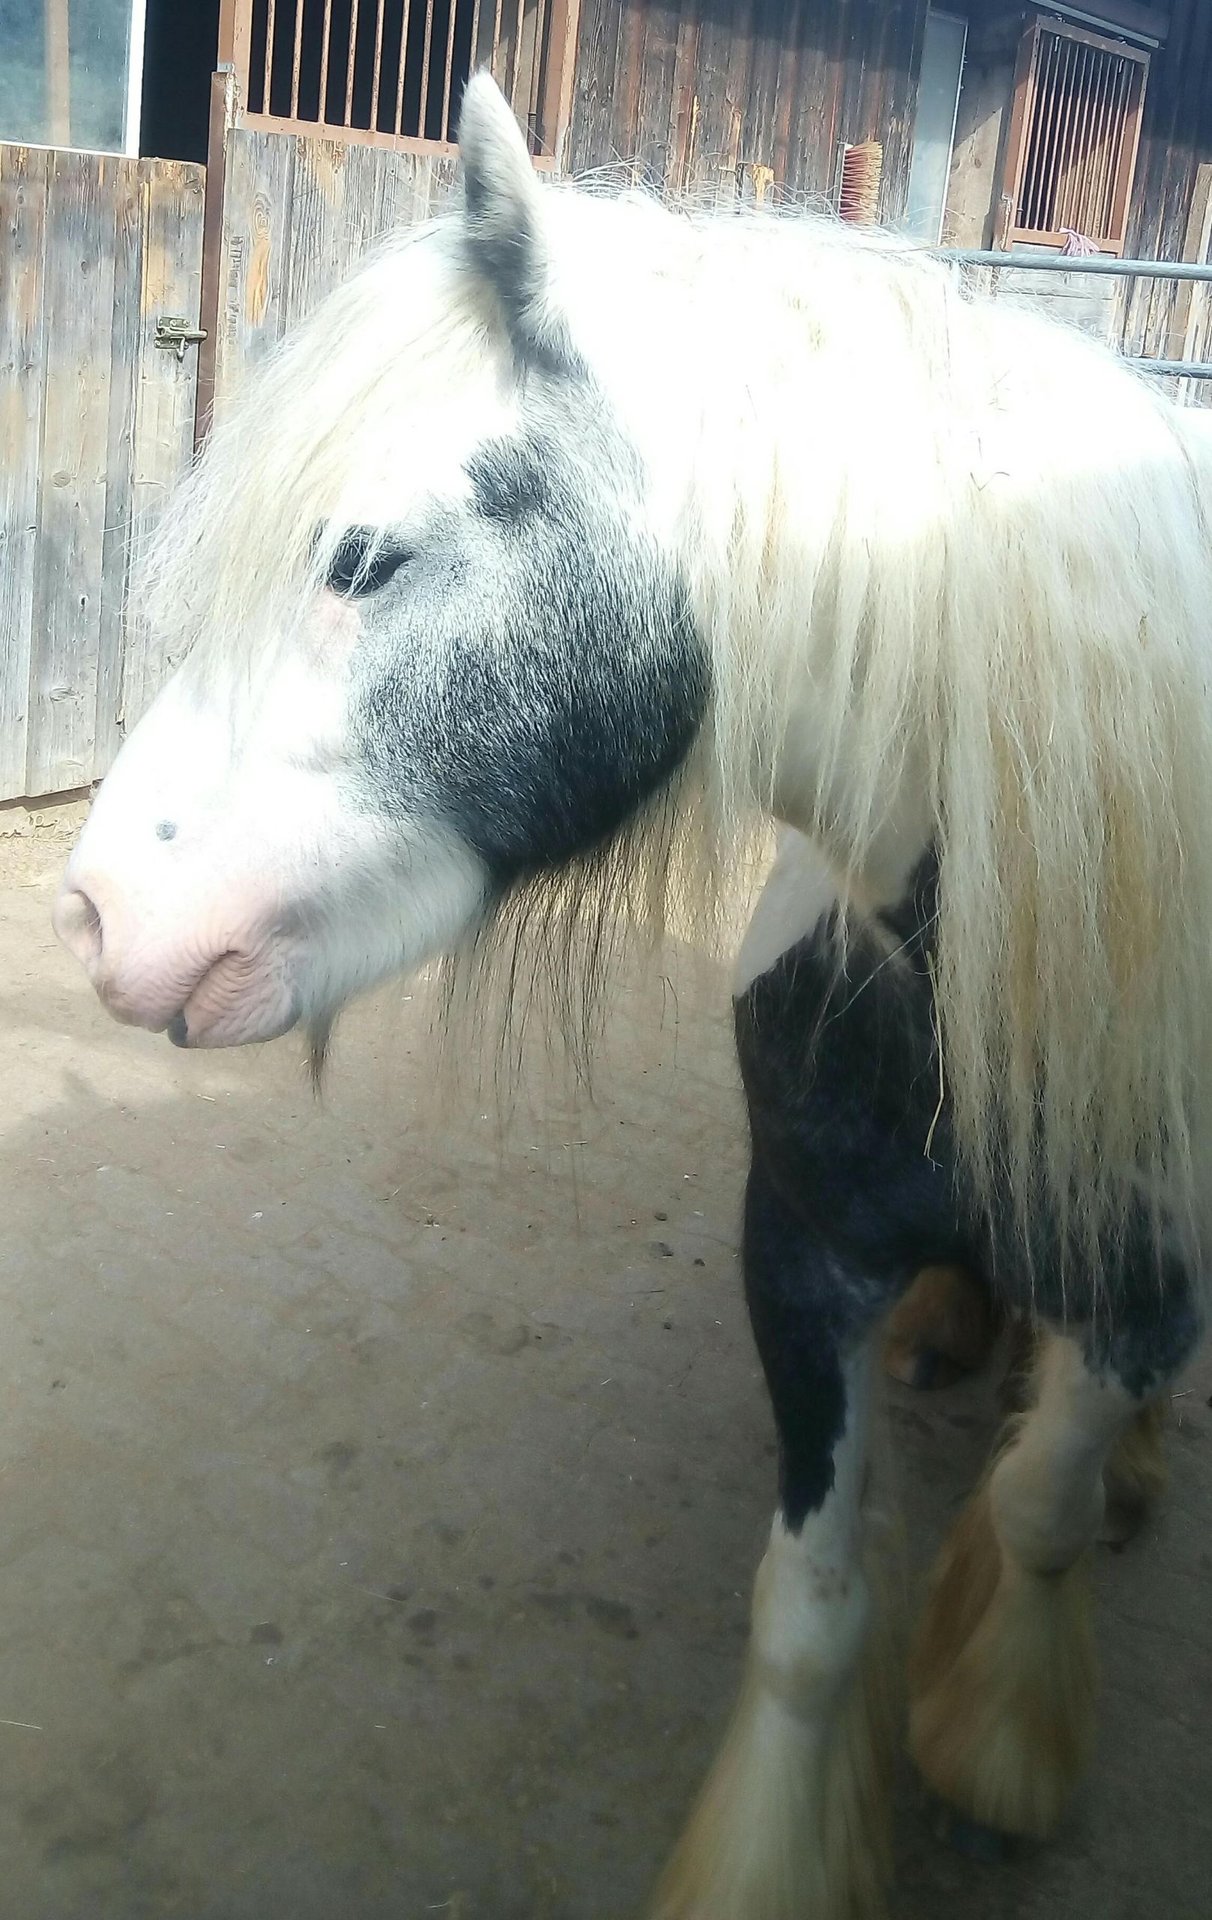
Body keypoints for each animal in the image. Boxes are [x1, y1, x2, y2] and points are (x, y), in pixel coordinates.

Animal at [53, 74, 1211, 1918]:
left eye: (362, 558)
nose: (98, 912)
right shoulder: (796, 1254)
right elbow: (808, 1616)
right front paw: (776, 1856)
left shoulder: (1151, 1281)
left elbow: (1037, 1509)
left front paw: (997, 1745)